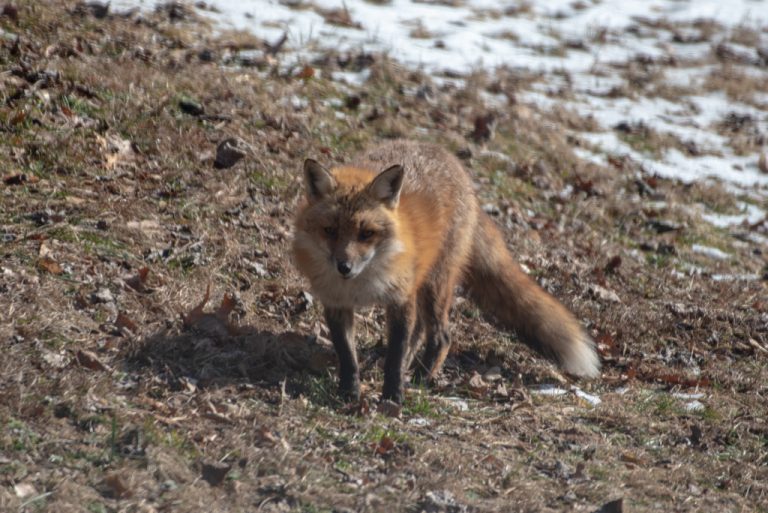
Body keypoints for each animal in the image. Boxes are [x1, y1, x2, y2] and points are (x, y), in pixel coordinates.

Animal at [292, 140, 600, 404]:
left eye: (366, 233)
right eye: (330, 230)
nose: (344, 267)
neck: (361, 285)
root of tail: (451, 159)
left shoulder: (400, 297)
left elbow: (395, 356)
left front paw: (392, 397)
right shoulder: (336, 302)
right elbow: (348, 356)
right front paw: (349, 393)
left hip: (435, 284)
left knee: (441, 336)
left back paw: (420, 378)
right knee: (421, 332)